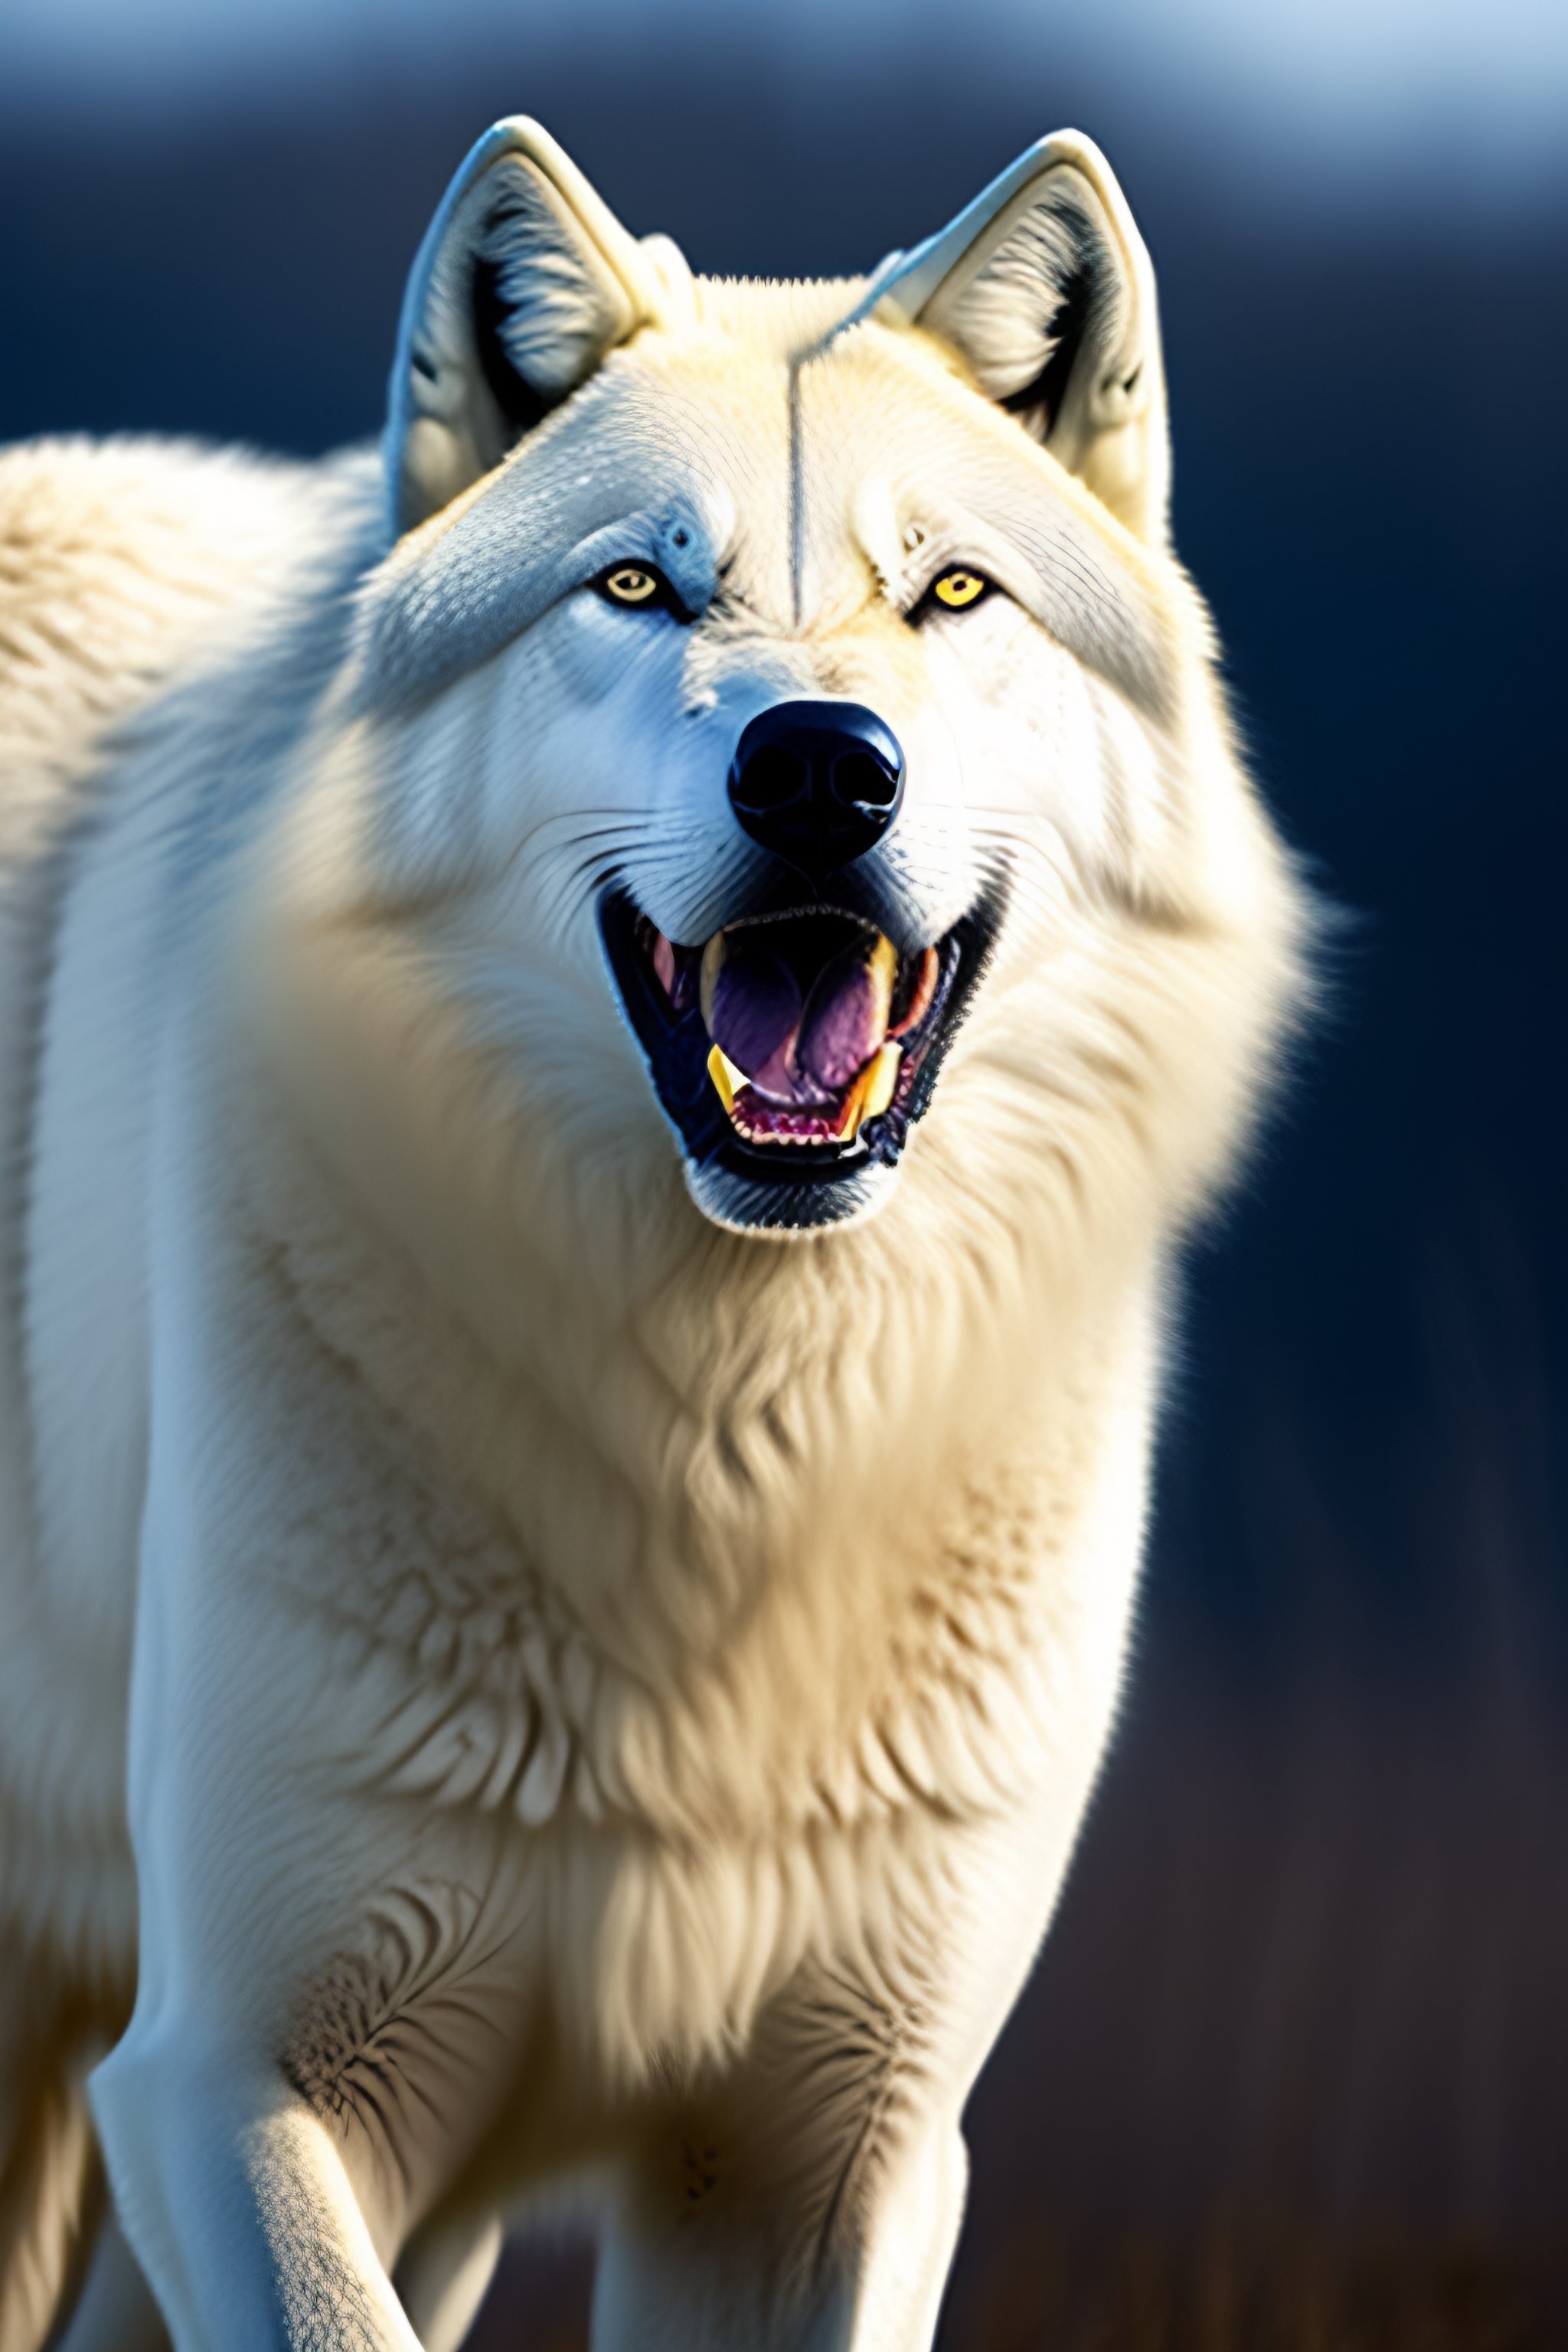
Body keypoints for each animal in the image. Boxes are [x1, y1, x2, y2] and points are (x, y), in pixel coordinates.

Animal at [0, 116, 1304, 2352]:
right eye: (637, 585)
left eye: (948, 591)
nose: (819, 766)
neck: (725, 1442)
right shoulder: (230, 2069)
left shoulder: (836, 2150)